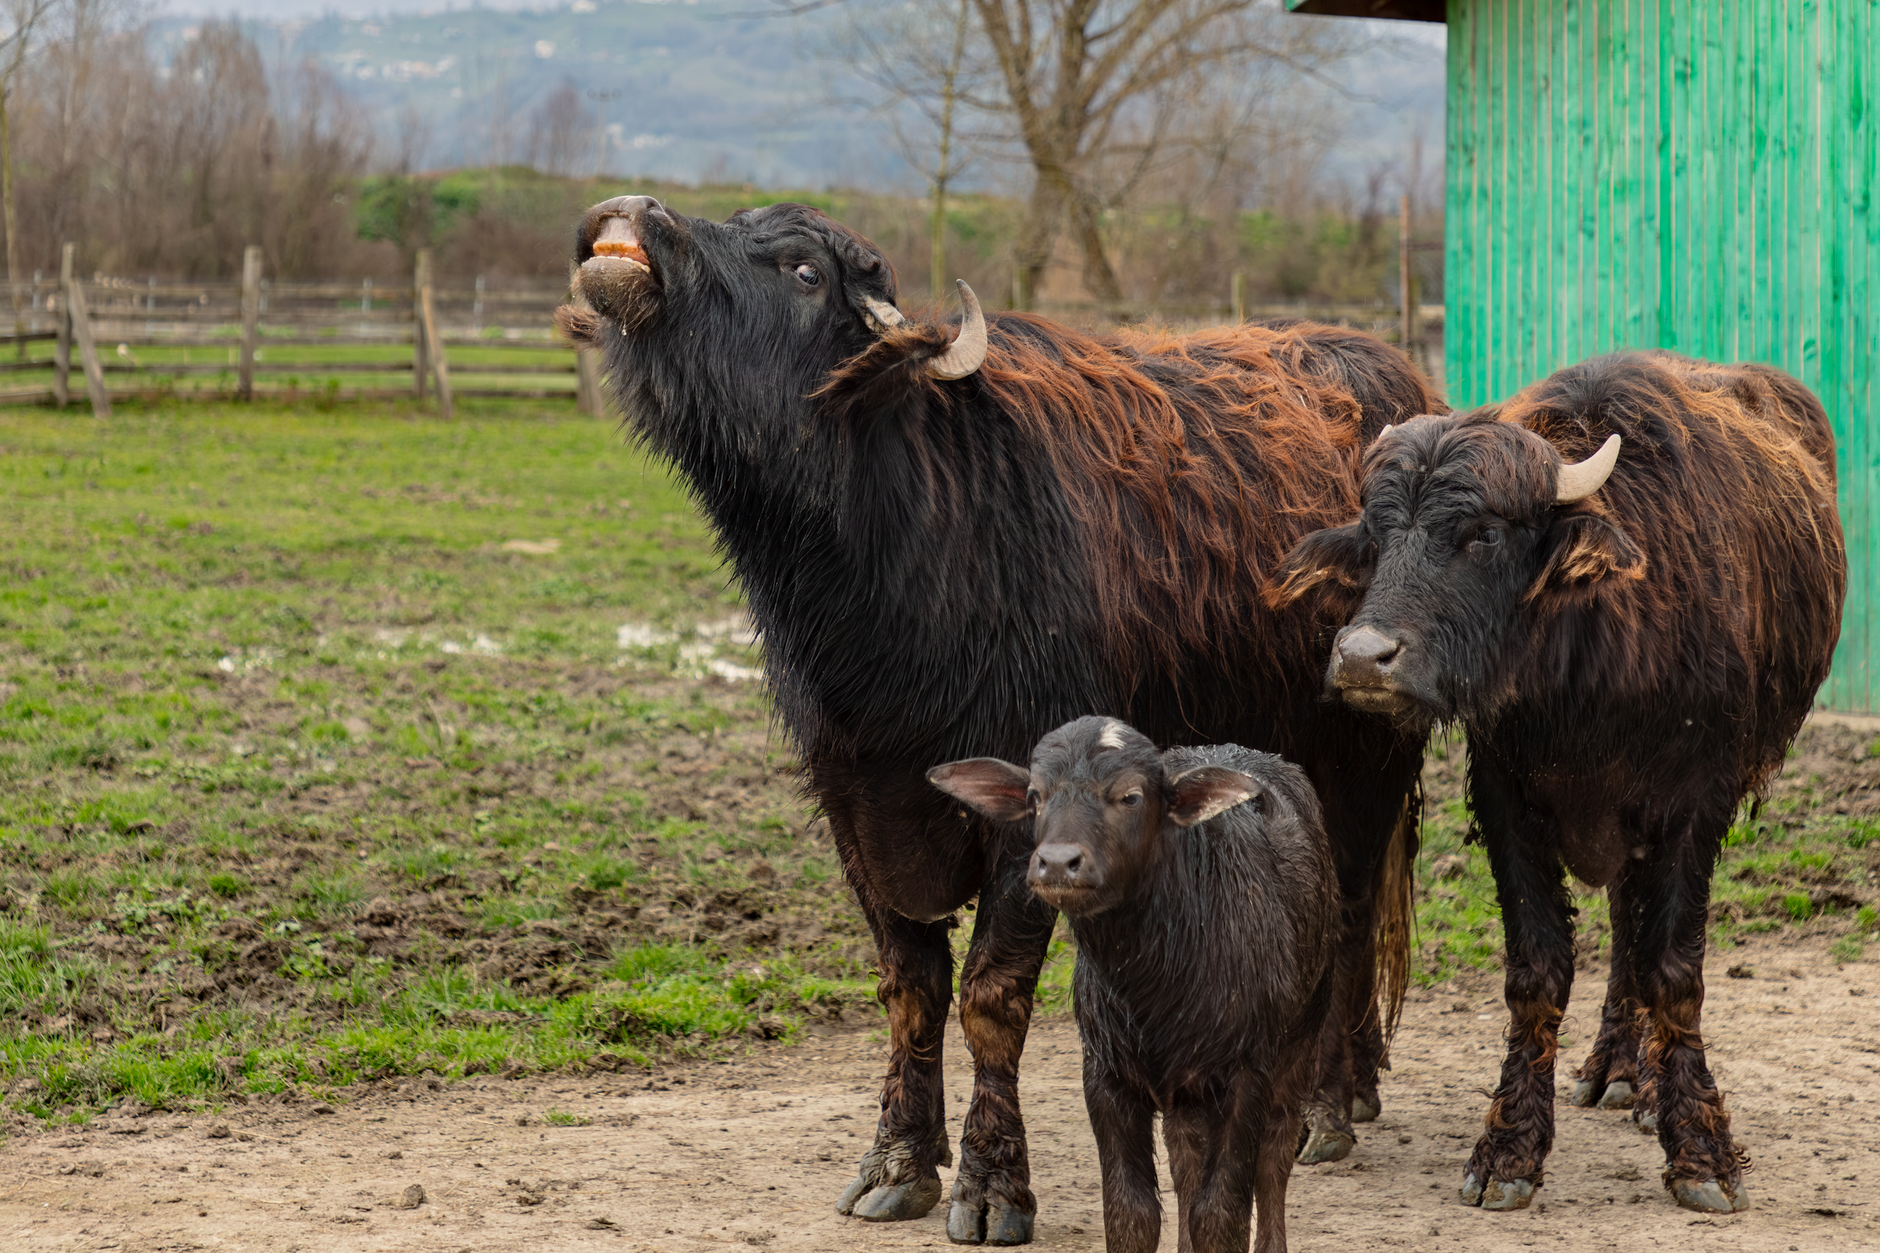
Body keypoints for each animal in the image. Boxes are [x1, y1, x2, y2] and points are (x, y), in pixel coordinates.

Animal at [558, 196, 1438, 1243]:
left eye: (804, 270)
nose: (631, 214)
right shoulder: (855, 804)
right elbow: (910, 989)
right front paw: (898, 1160)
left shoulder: (1030, 824)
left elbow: (991, 998)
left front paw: (990, 1186)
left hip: (1368, 761)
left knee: (1346, 917)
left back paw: (1327, 1110)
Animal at [1277, 350, 1847, 1214]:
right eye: (1377, 536)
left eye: (1479, 535)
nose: (1363, 658)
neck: (1587, 664)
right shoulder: (1508, 799)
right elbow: (1537, 973)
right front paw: (1509, 1149)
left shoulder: (1695, 802)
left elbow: (1674, 970)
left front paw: (1700, 1150)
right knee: (1620, 923)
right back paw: (1617, 1068)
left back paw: (1644, 1086)